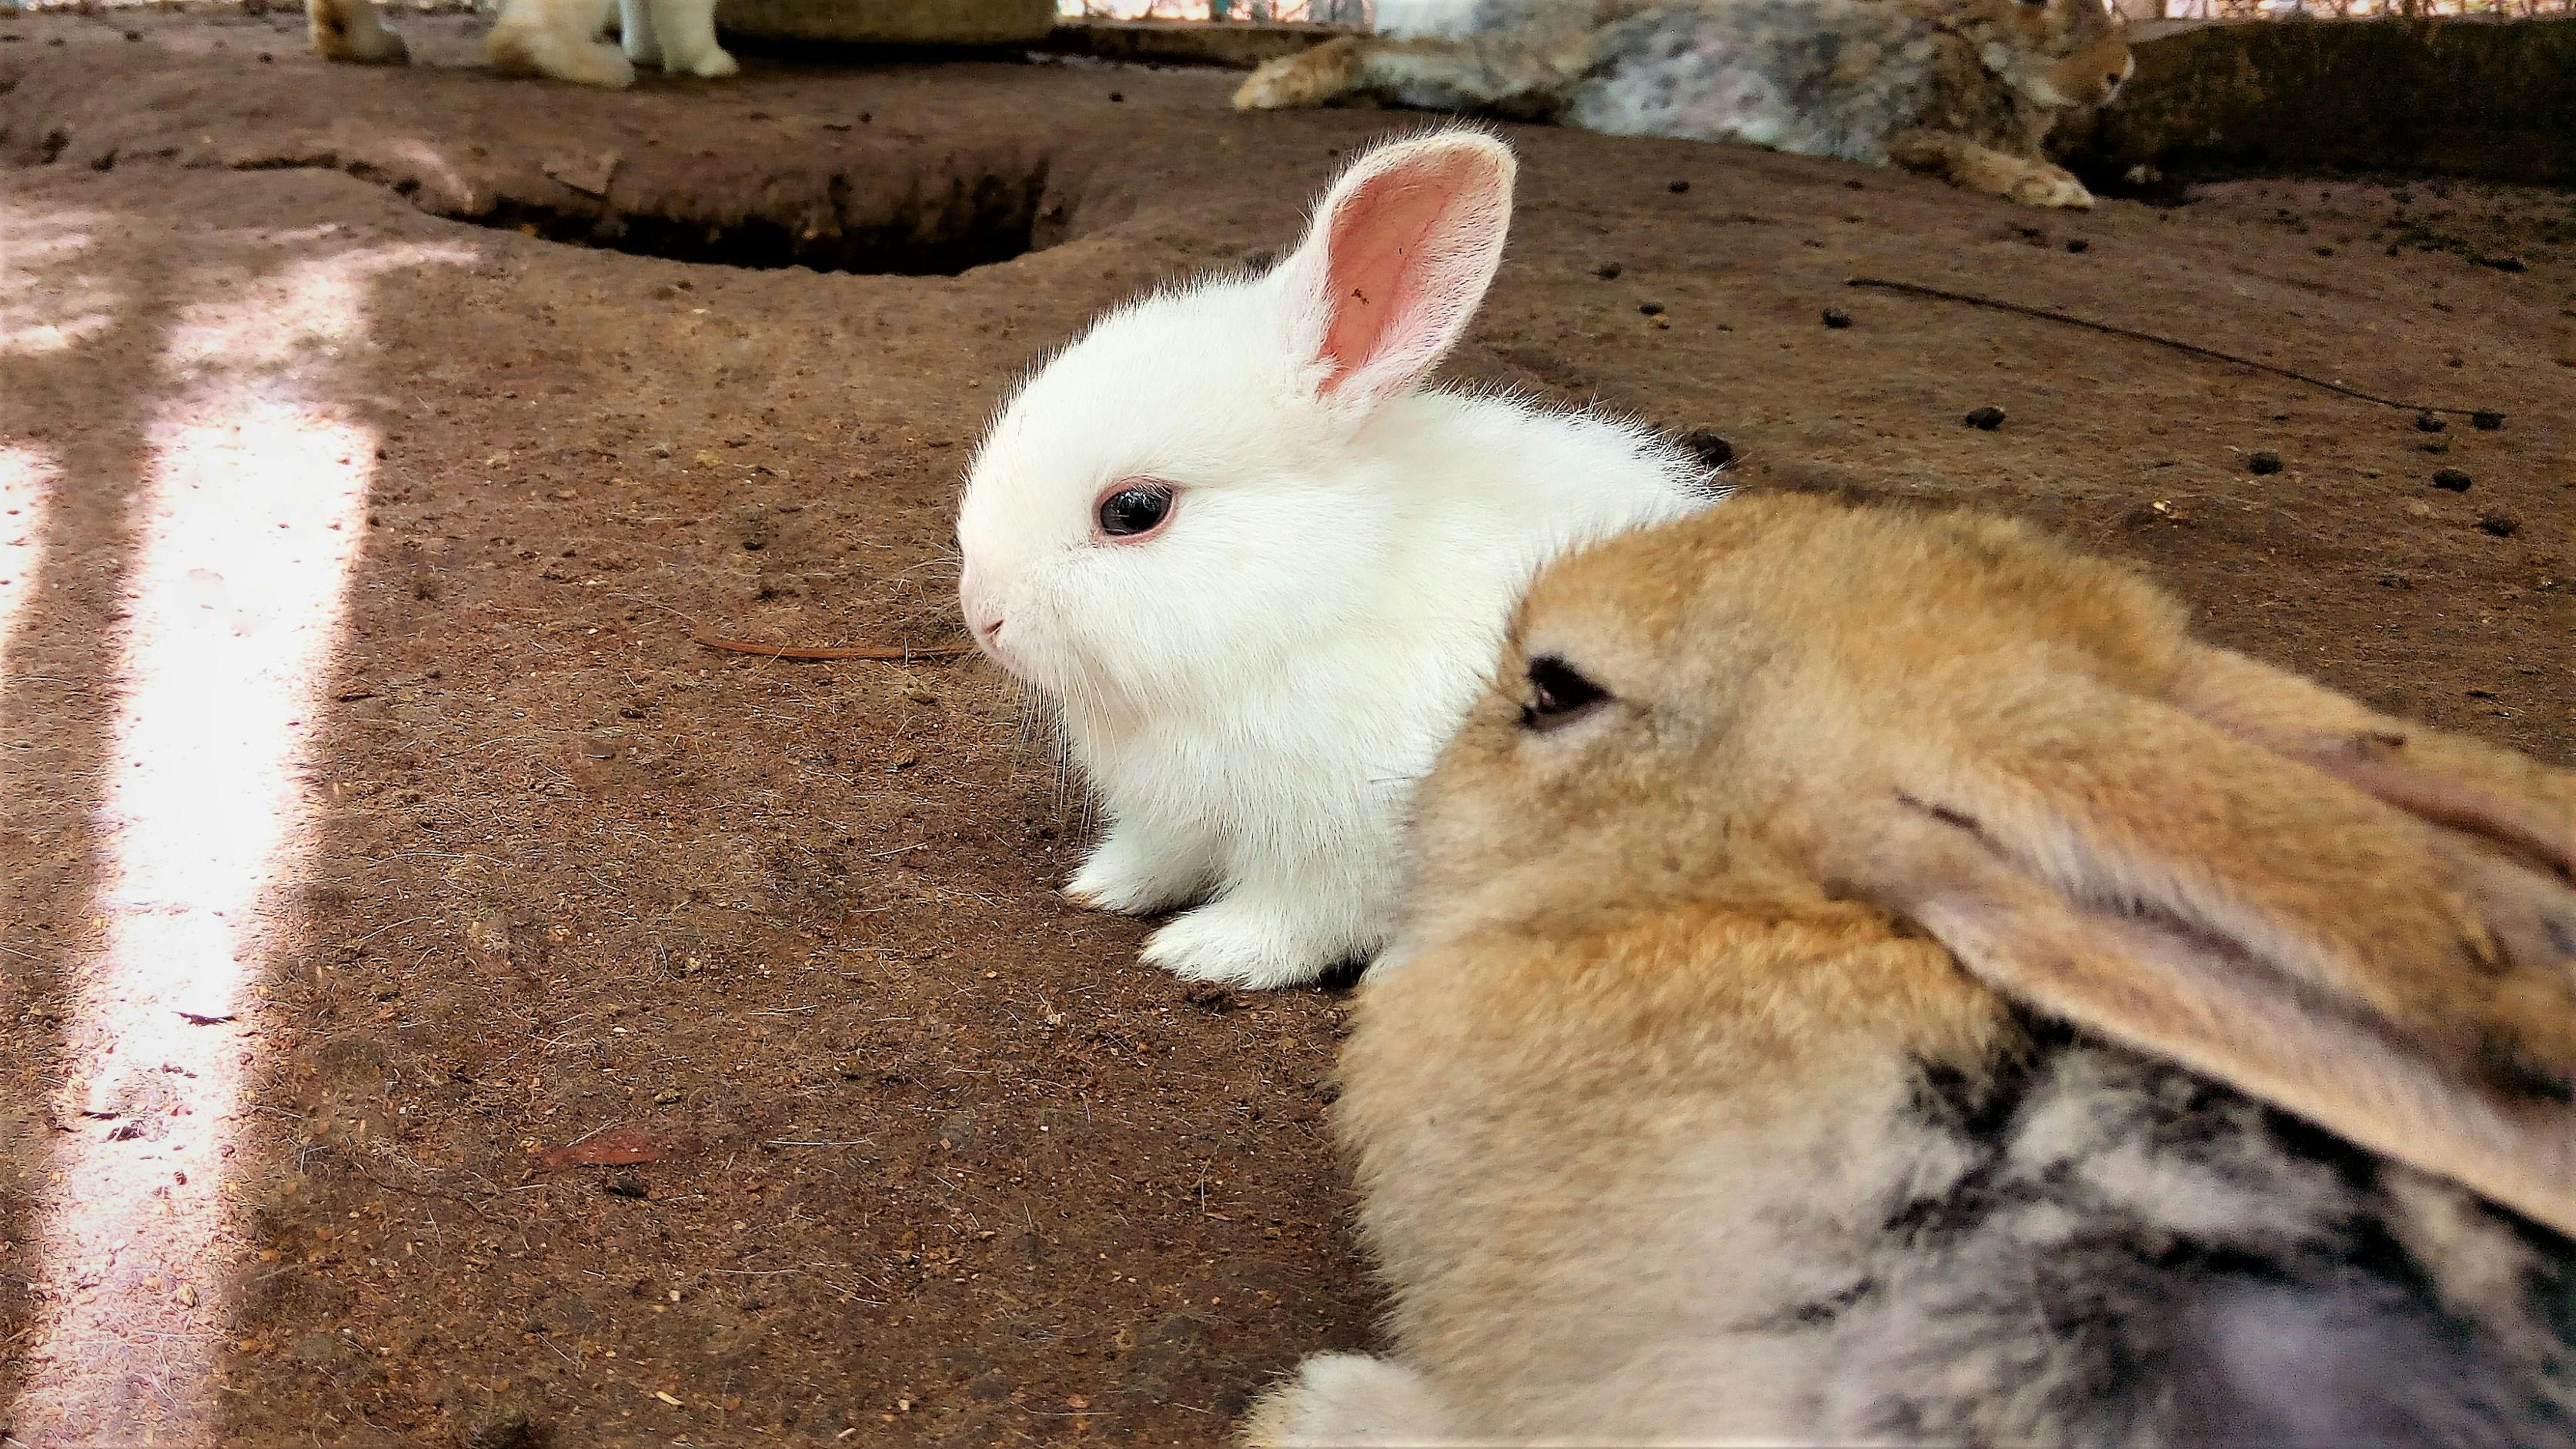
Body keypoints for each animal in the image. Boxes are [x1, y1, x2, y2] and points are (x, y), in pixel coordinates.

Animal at [955, 130, 1717, 990]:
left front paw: (1205, 950)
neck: (1314, 597)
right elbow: (1158, 856)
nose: (982, 613)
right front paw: (1102, 886)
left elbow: (1296, 918)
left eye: (1134, 510)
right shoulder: (1175, 816)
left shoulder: (1339, 842)